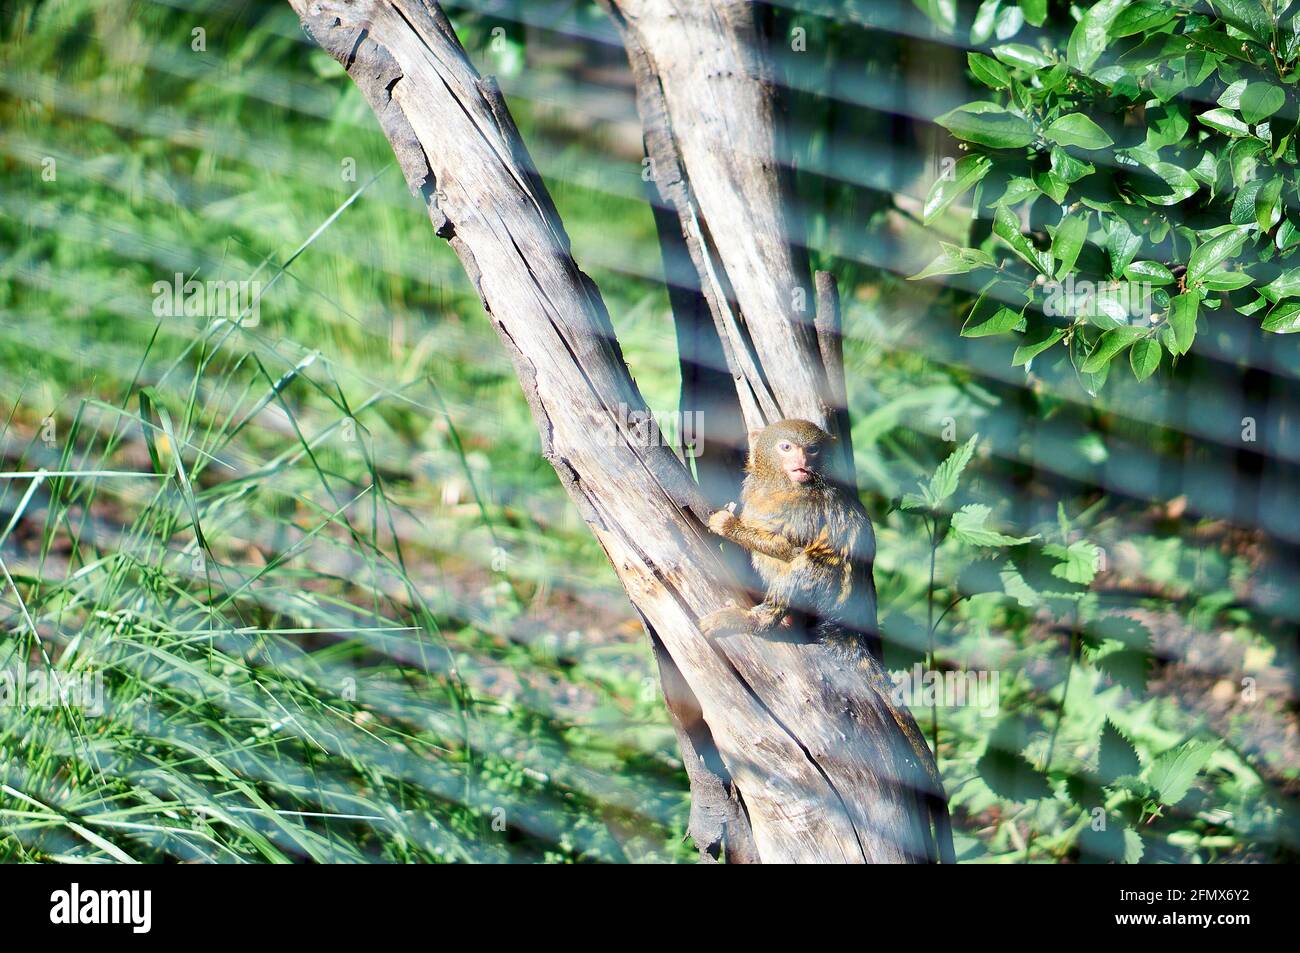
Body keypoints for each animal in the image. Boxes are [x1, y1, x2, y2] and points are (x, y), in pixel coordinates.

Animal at [698, 418, 881, 662]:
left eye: (812, 450)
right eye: (786, 447)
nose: (801, 461)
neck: (781, 487)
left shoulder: (804, 513)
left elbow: (791, 549)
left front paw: (728, 526)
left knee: (807, 564)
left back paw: (752, 620)